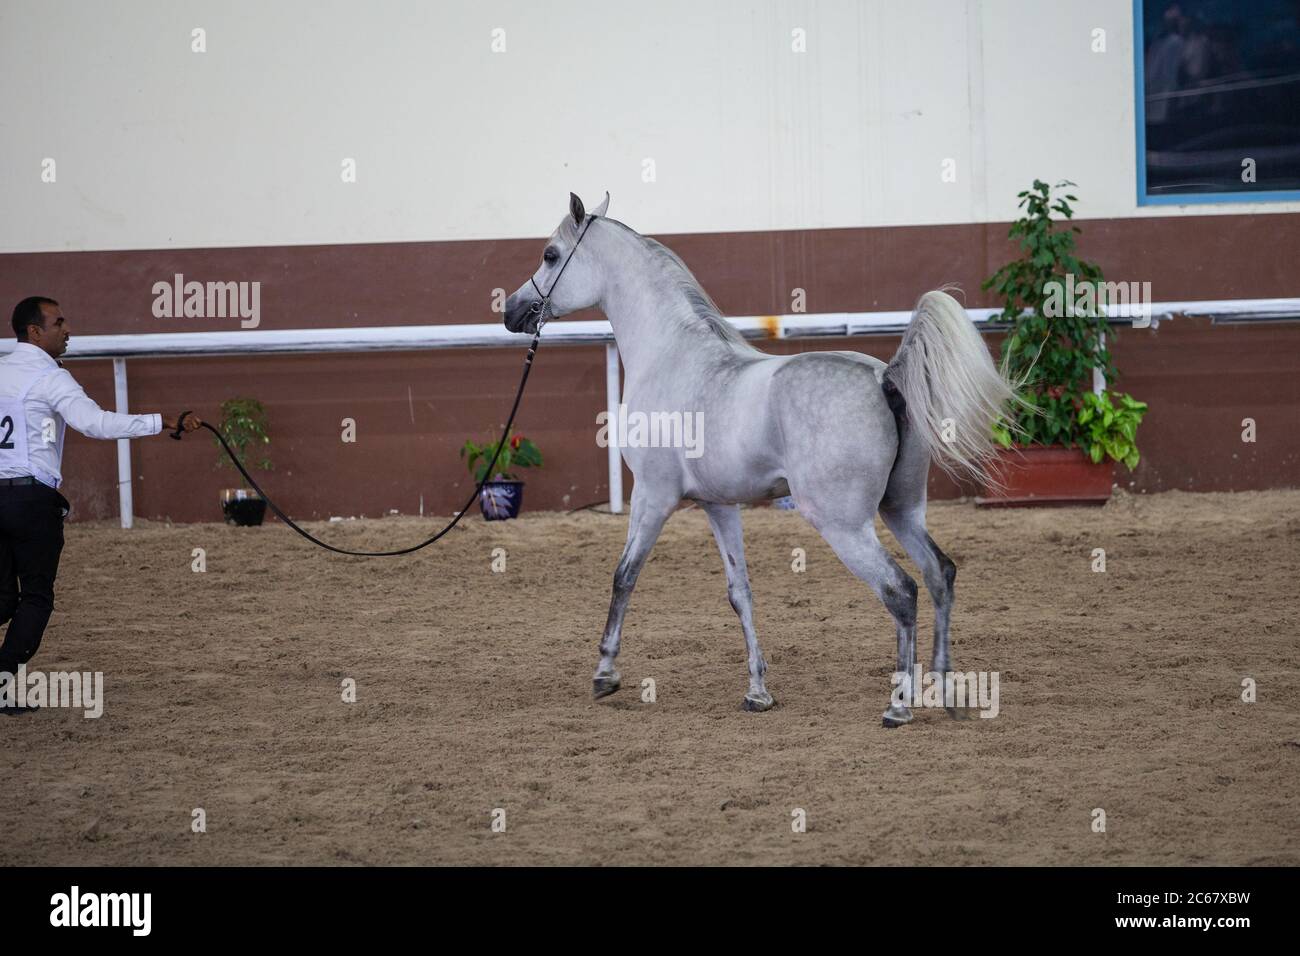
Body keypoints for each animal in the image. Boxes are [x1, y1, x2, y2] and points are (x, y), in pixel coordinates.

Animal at [504, 192, 1014, 727]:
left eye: (550, 255)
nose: (512, 312)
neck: (672, 356)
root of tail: (885, 379)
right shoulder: (719, 506)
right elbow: (740, 592)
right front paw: (758, 691)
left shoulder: (653, 495)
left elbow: (624, 576)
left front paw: (605, 674)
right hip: (902, 509)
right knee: (940, 574)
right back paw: (946, 692)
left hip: (842, 524)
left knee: (901, 590)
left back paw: (899, 705)